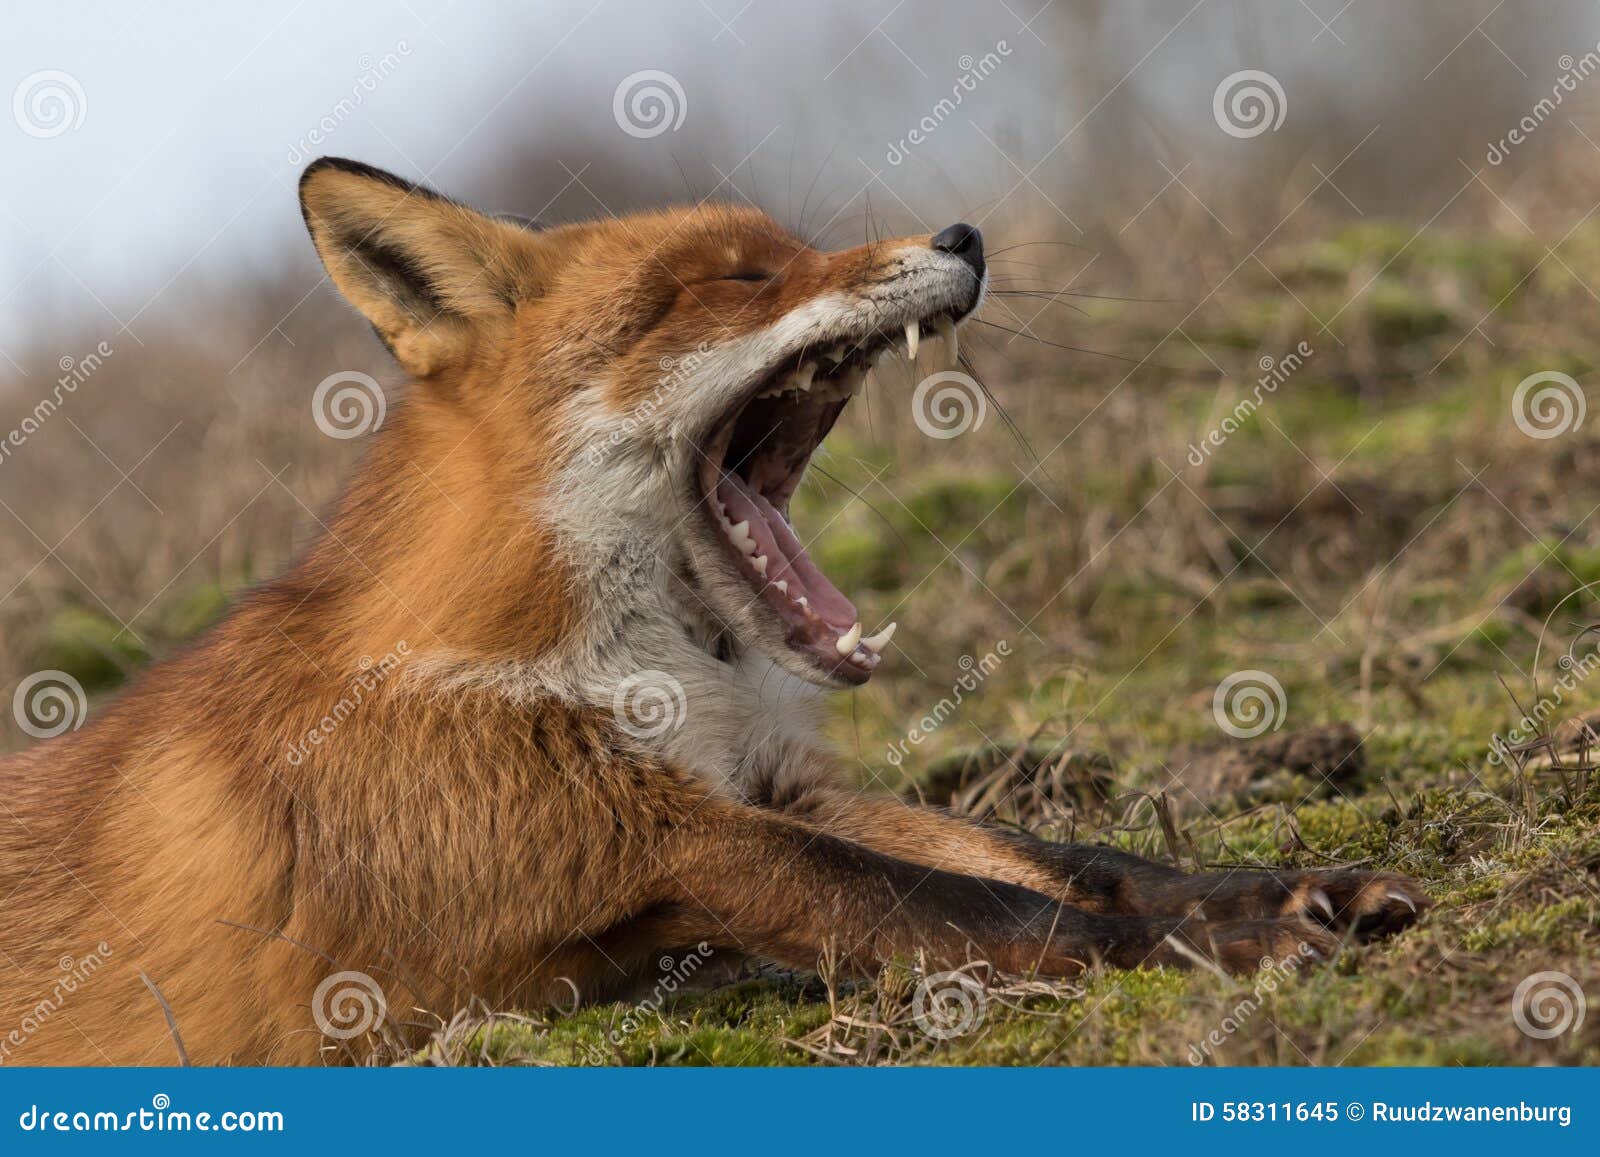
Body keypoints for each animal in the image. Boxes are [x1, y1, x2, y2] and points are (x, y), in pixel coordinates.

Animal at [0, 157, 1428, 1066]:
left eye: (782, 253)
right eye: (740, 279)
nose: (963, 237)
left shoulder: (755, 781)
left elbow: (1063, 856)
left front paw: (1272, 890)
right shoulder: (657, 839)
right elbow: (989, 909)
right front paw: (1224, 946)